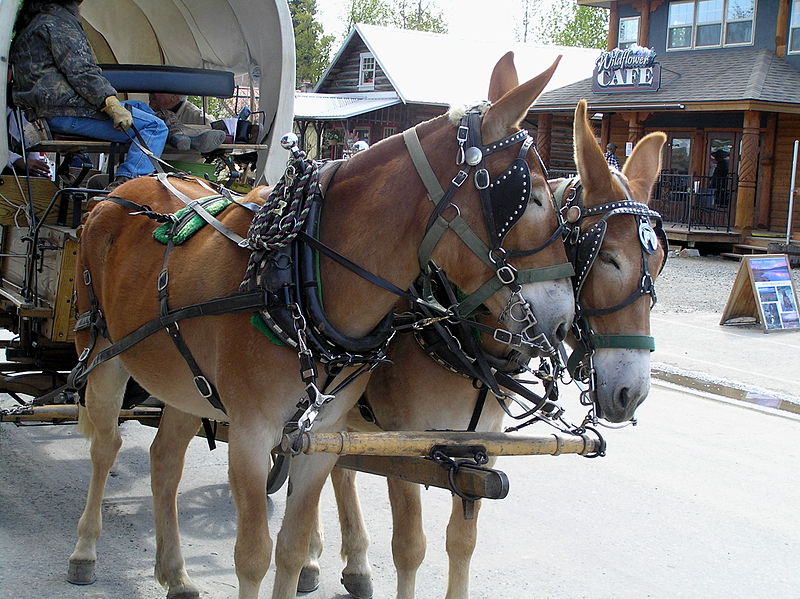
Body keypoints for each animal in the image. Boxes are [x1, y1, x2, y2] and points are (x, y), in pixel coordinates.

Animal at [66, 53, 575, 599]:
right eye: (535, 198)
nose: (563, 319)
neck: (296, 277)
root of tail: (115, 192)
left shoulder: (321, 438)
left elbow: (290, 546)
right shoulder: (250, 436)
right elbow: (252, 555)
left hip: (187, 384)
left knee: (164, 461)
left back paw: (176, 573)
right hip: (102, 353)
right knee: (105, 447)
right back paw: (85, 549)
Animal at [311, 98, 668, 599]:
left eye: (660, 260)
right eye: (610, 259)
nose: (630, 393)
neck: (459, 333)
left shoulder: (481, 450)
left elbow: (462, 543)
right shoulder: (406, 445)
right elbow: (409, 547)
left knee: (338, 467)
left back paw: (355, 563)